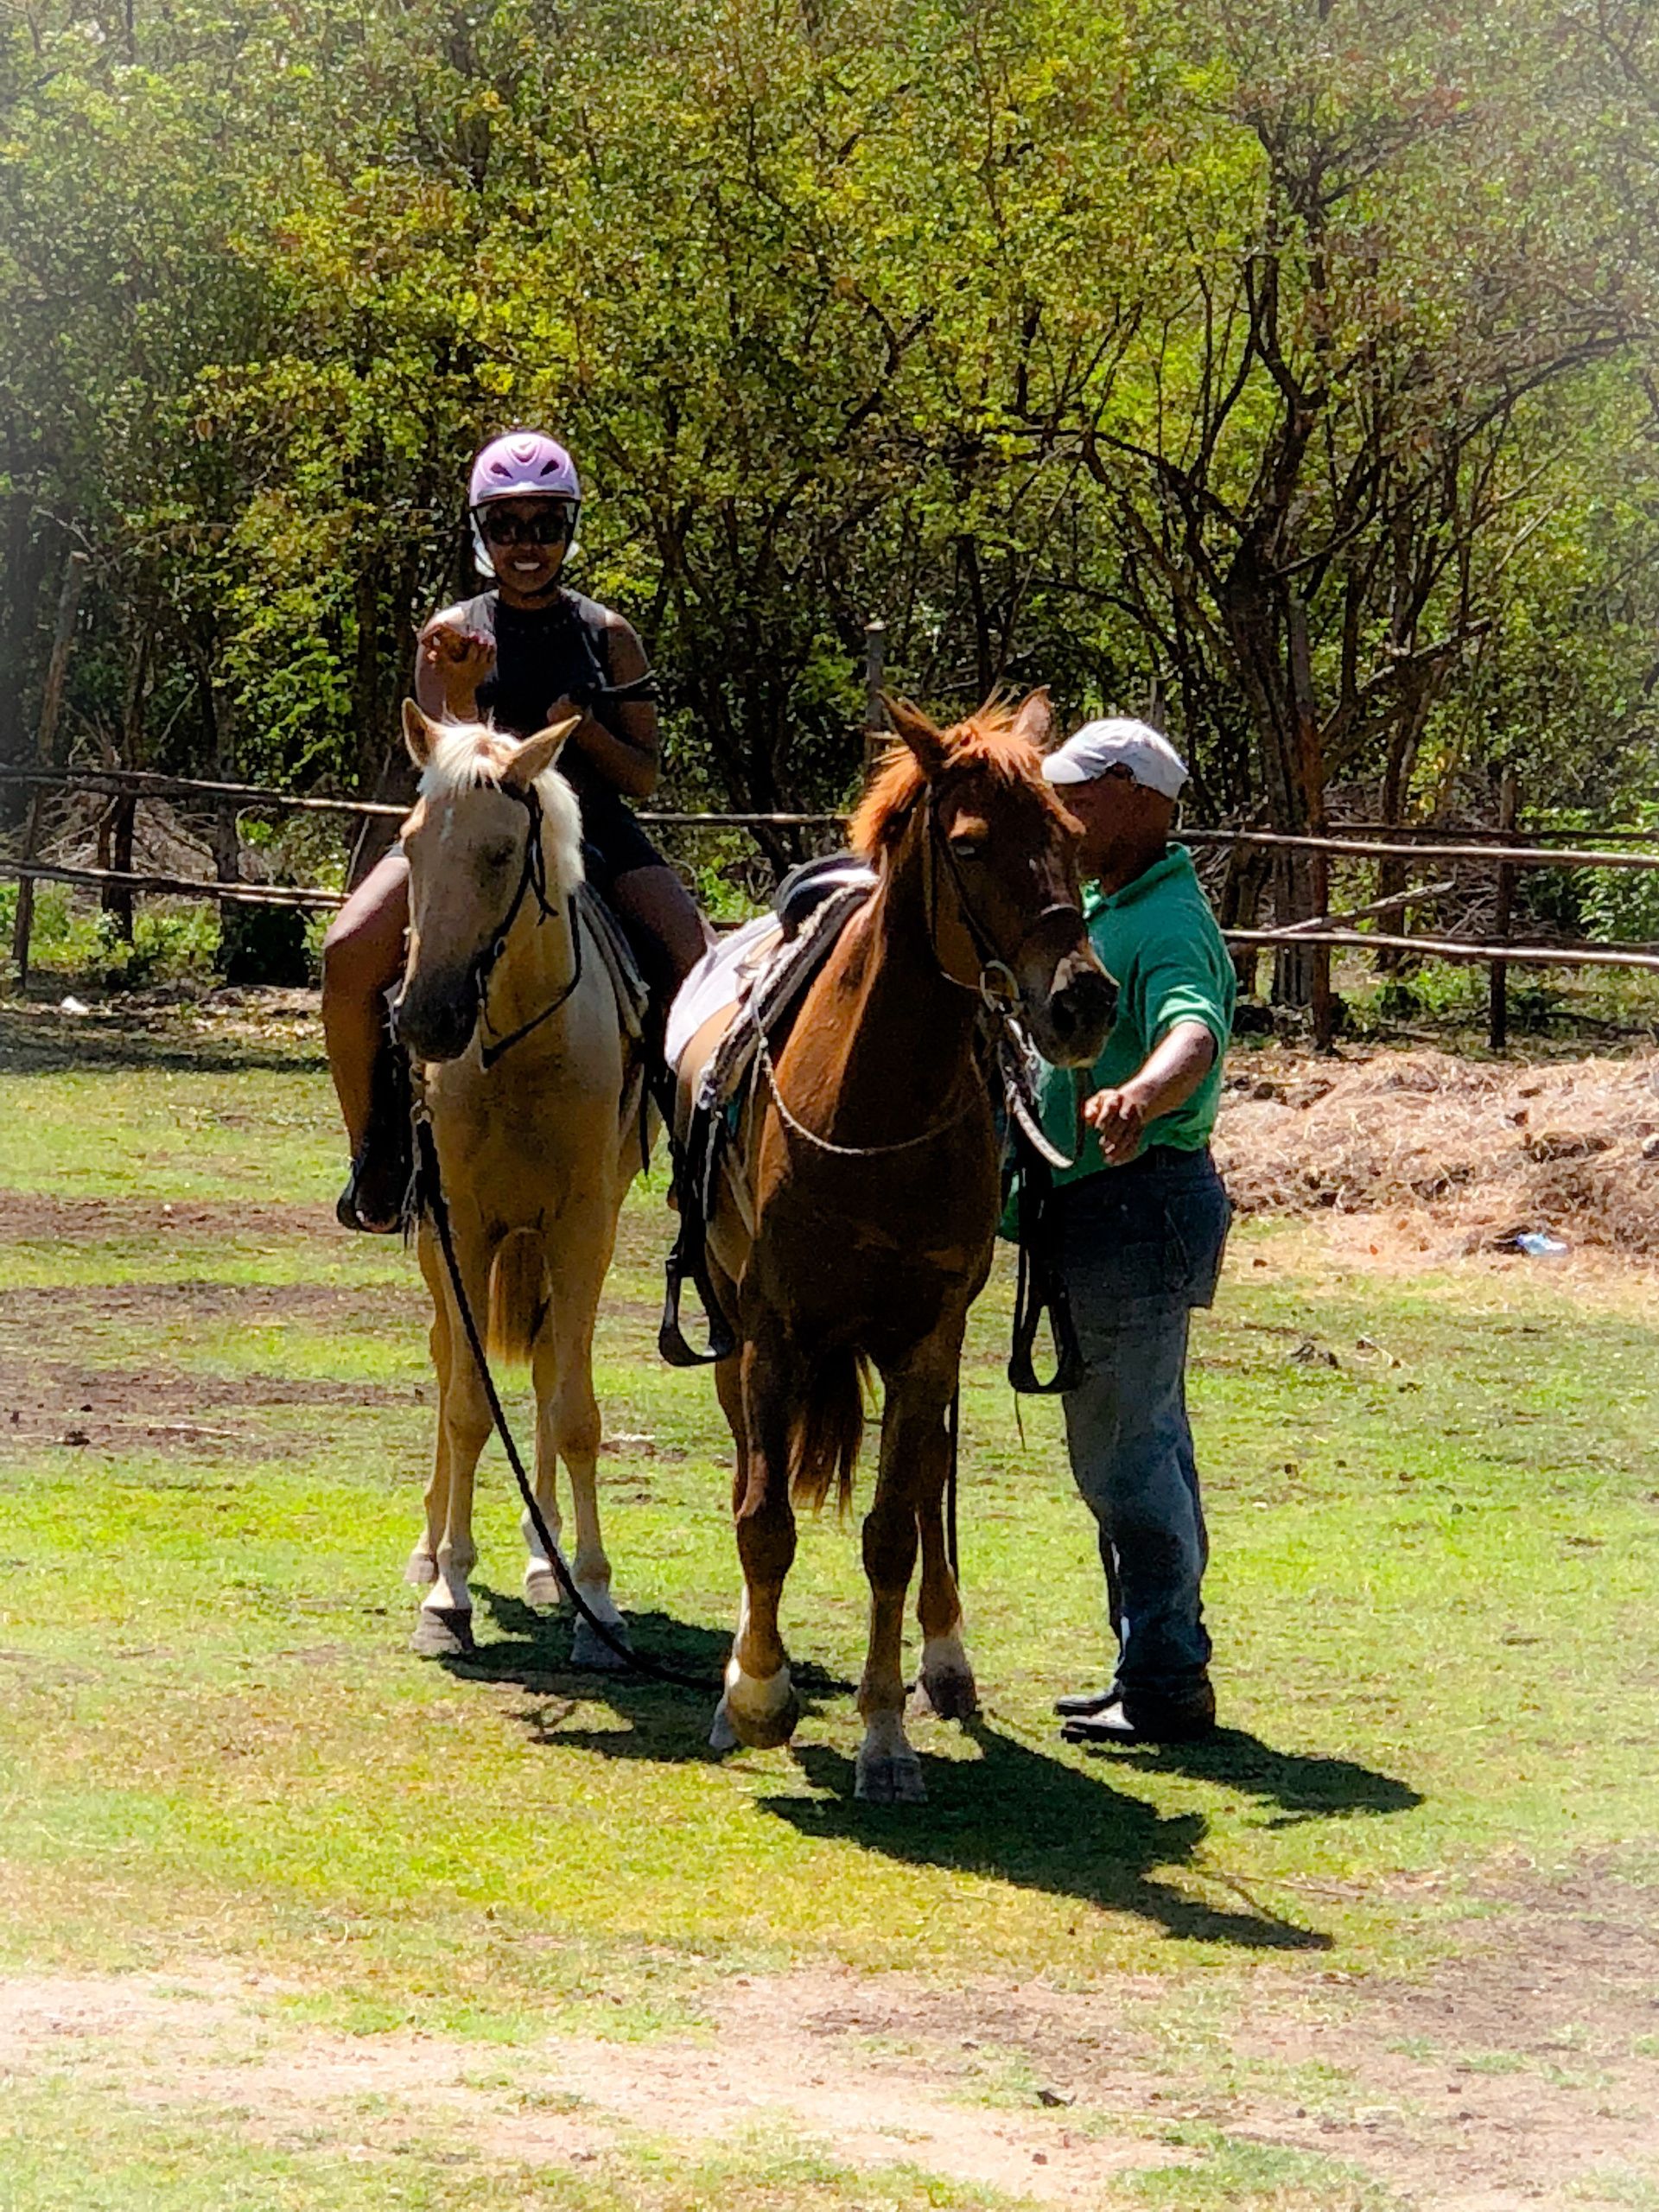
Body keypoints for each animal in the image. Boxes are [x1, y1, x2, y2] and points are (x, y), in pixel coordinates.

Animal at [393, 701, 646, 1664]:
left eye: (502, 852)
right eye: (410, 843)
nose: (425, 1018)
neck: (522, 1052)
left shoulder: (582, 1229)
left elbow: (572, 1407)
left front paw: (595, 1600)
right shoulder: (463, 1225)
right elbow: (468, 1406)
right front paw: (449, 1594)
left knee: (542, 1366)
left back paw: (548, 1558)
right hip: (441, 1244)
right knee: (446, 1359)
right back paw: (430, 1546)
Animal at [674, 691, 1115, 1802]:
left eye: (1072, 837)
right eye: (968, 843)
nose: (1083, 1002)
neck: (873, 1101)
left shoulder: (924, 1340)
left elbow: (889, 1534)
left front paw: (883, 1738)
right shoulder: (776, 1333)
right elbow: (763, 1517)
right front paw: (757, 1693)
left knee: (924, 1495)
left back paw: (945, 1664)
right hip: (734, 1332)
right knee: (753, 1476)